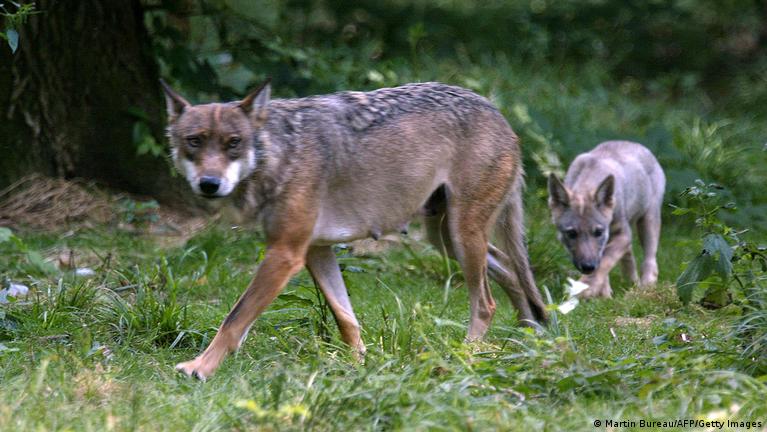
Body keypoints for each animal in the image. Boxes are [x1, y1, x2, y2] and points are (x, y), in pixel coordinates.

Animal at [160, 79, 547, 380]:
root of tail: (499, 114)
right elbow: (347, 319)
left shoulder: (285, 255)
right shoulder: (315, 251)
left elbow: (234, 319)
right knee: (512, 273)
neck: (280, 151)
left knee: (486, 303)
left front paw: (199, 368)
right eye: (194, 141)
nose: (209, 184)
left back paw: (466, 356)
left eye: (233, 143)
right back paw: (529, 341)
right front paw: (358, 368)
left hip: (462, 237)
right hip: (447, 239)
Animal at [548, 141, 665, 298]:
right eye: (571, 234)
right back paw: (631, 282)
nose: (588, 267)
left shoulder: (622, 234)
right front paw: (604, 295)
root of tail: (636, 144)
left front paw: (588, 287)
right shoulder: (612, 240)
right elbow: (604, 265)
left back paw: (646, 287)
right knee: (629, 255)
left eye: (598, 232)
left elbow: (605, 260)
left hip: (648, 220)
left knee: (650, 259)